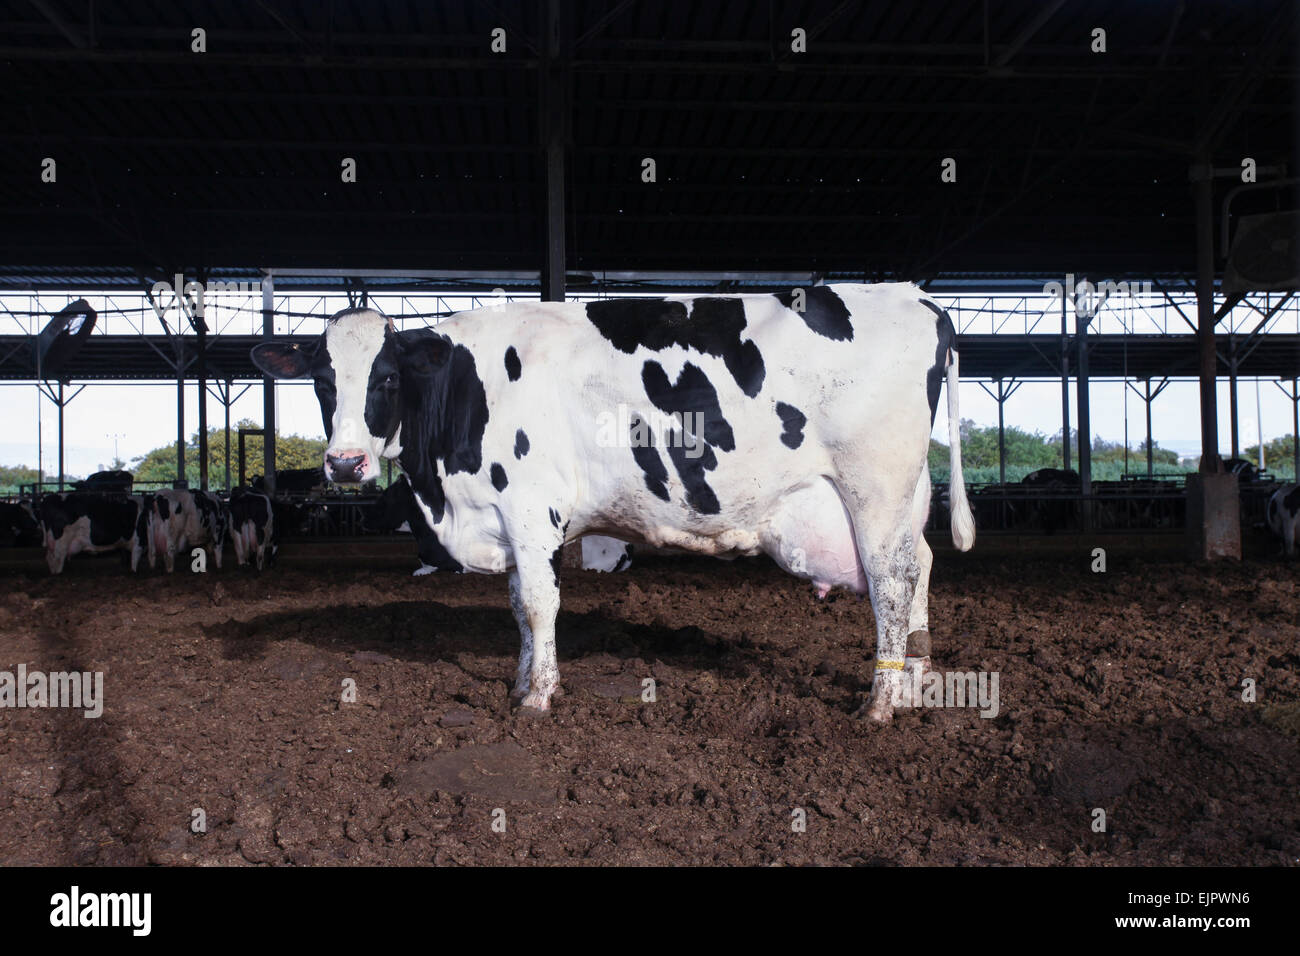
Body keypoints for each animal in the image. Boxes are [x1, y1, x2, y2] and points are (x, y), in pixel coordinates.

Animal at [252, 283, 975, 722]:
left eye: (386, 378)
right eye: (322, 382)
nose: (345, 462)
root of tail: (916, 297)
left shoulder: (530, 507)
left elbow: (537, 603)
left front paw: (538, 698)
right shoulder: (511, 521)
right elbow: (518, 607)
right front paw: (523, 680)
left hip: (875, 485)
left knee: (891, 581)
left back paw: (879, 702)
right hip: (901, 496)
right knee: (921, 568)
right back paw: (914, 682)